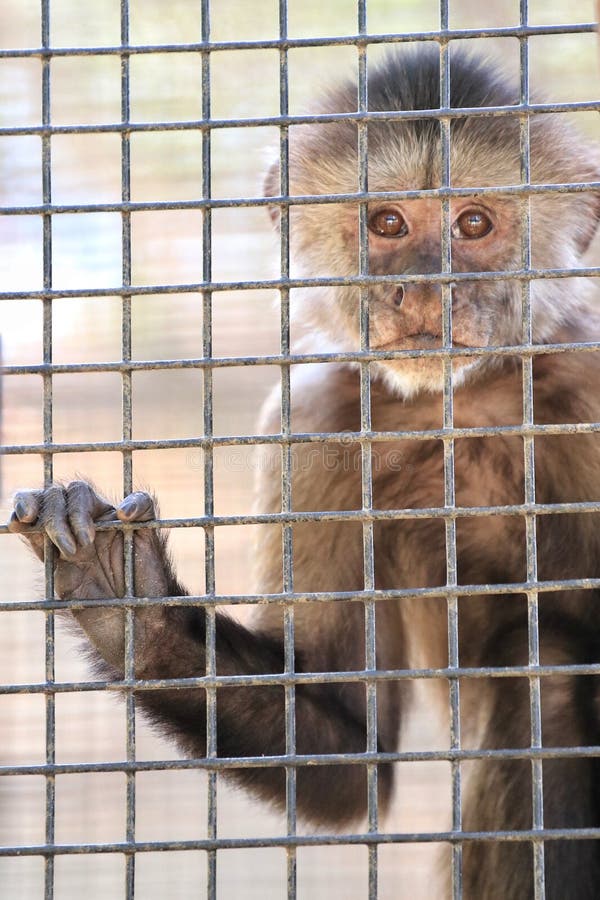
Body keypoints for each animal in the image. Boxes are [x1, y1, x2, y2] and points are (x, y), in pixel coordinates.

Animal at [7, 46, 600, 899]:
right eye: (387, 223)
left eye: (474, 223)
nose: (424, 287)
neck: (467, 398)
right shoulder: (314, 423)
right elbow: (344, 752)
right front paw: (126, 600)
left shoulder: (587, 372)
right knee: (543, 673)